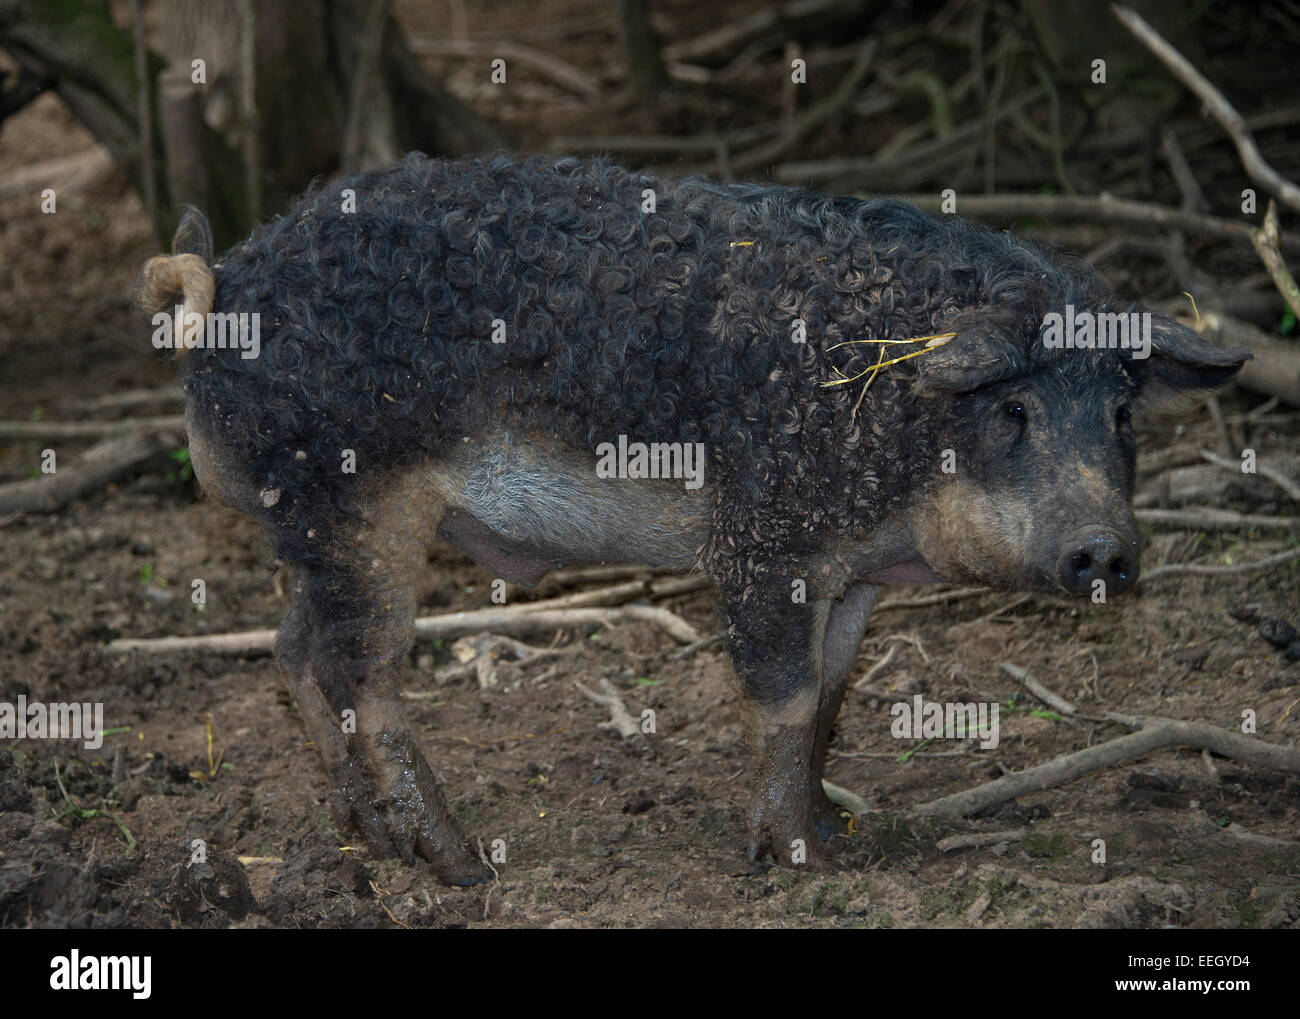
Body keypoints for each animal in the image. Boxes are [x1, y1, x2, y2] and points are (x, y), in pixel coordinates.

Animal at [136, 153, 1250, 884]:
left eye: (1121, 413)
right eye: (1013, 411)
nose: (1102, 546)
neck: (892, 418)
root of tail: (224, 285)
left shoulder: (850, 571)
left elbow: (832, 695)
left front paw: (839, 844)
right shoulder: (762, 534)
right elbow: (782, 693)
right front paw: (795, 864)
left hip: (307, 523)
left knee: (292, 649)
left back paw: (366, 842)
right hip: (357, 503)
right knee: (362, 671)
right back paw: (460, 868)